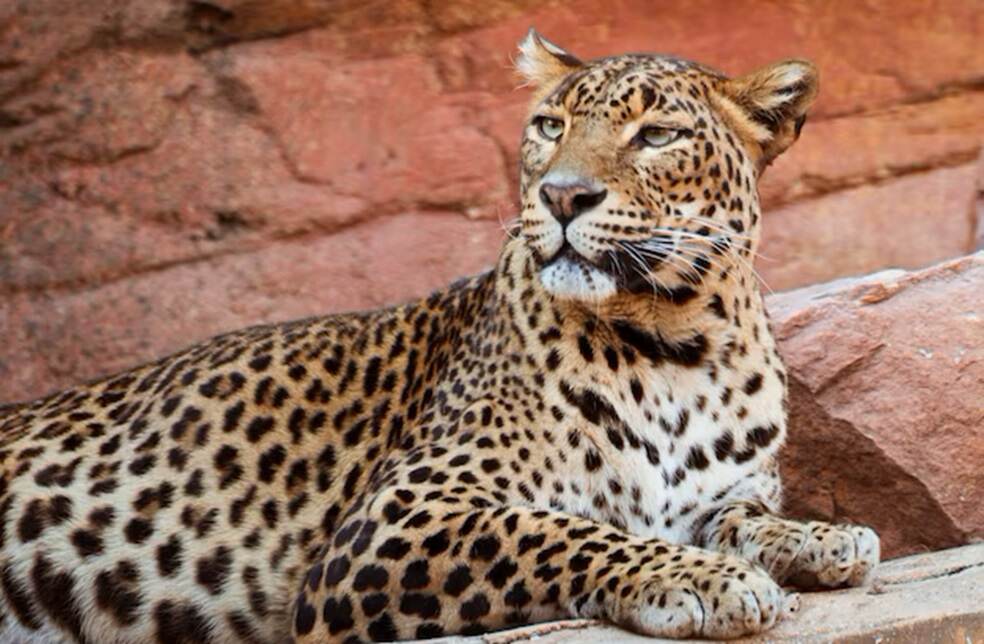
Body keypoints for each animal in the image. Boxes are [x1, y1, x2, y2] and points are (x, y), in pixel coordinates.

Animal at [0, 30, 880, 643]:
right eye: (549, 126)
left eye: (656, 136)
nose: (563, 196)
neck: (676, 343)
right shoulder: (398, 516)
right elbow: (560, 530)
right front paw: (704, 579)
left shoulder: (715, 493)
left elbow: (747, 518)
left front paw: (822, 538)